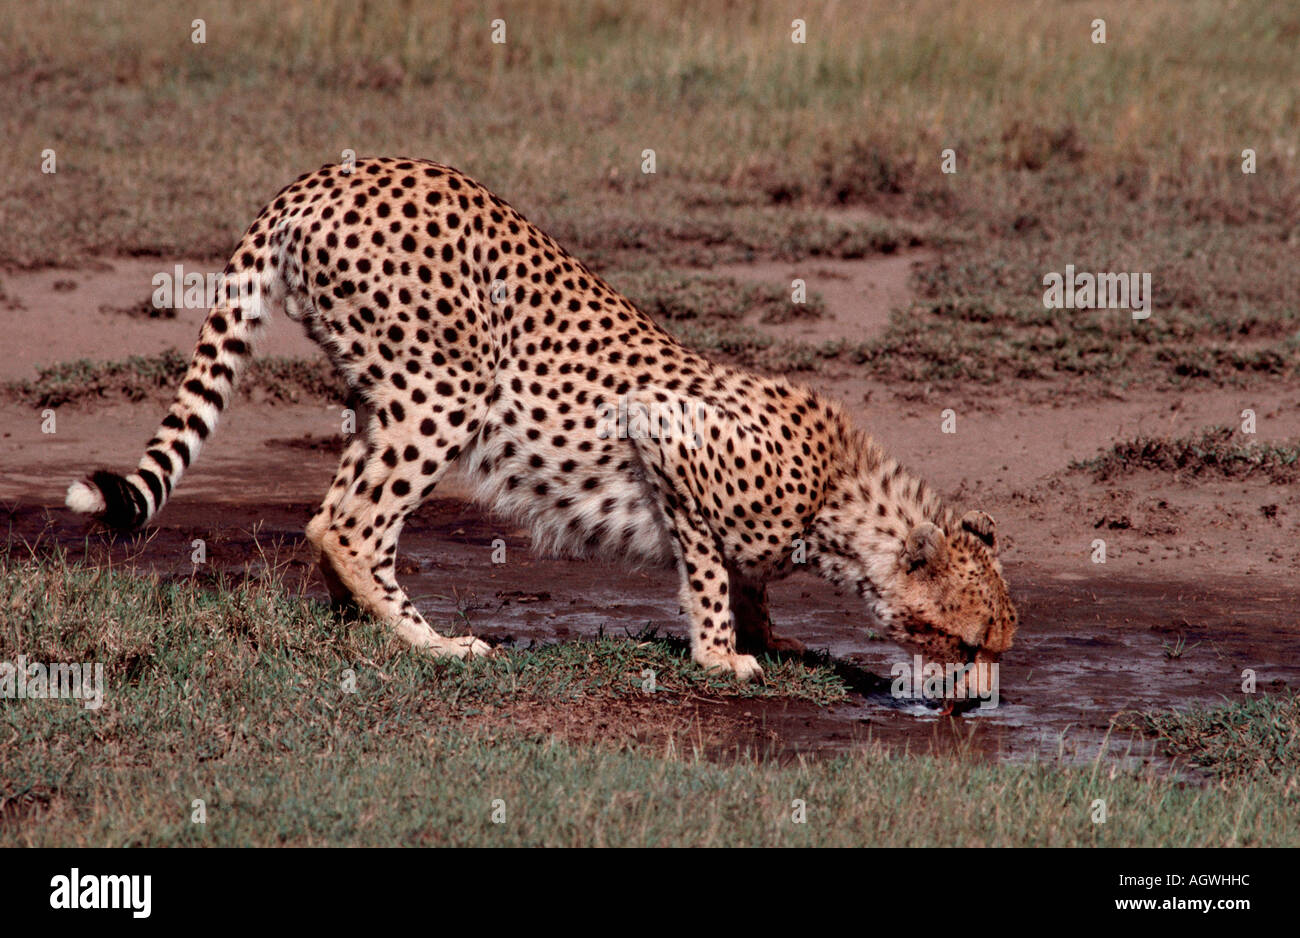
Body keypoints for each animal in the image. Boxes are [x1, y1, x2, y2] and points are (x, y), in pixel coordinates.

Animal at [66, 157, 1018, 685]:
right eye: (971, 645)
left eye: (998, 647)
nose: (980, 699)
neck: (842, 499)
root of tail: (336, 172)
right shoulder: (666, 440)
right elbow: (710, 573)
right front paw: (724, 655)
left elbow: (748, 583)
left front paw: (774, 636)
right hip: (443, 390)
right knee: (350, 524)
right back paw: (435, 646)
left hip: (383, 392)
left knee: (331, 512)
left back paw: (360, 621)